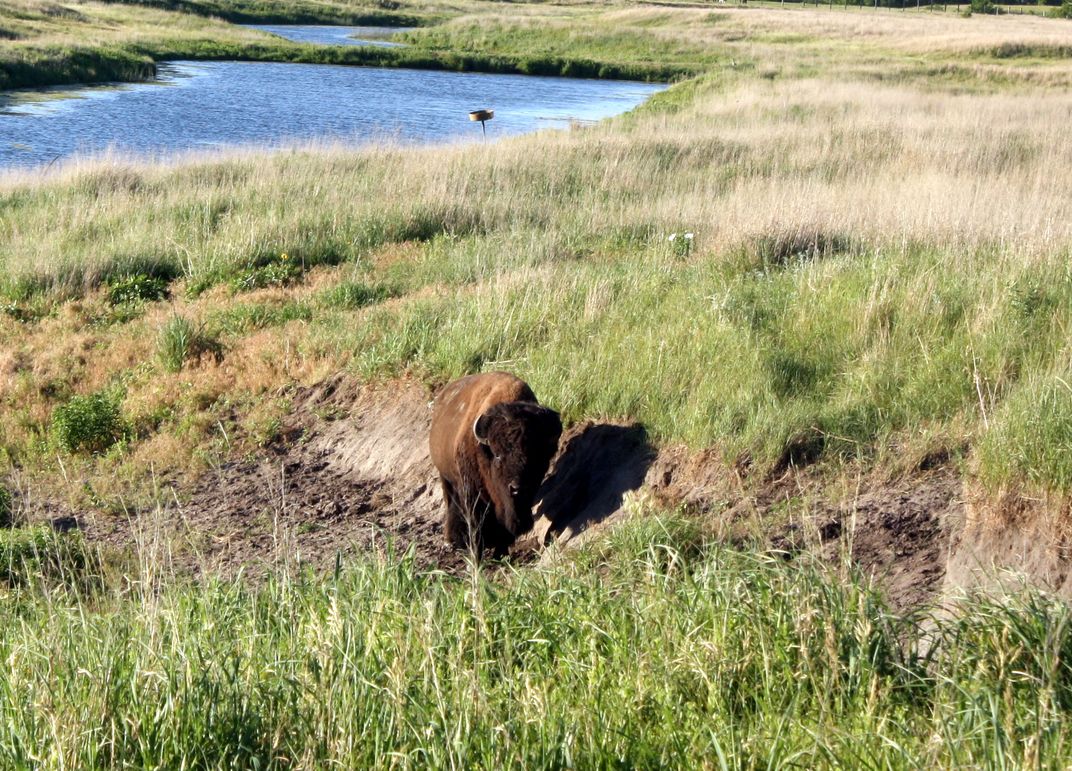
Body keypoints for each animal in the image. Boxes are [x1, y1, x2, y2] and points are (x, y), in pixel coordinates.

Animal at [429, 372, 562, 557]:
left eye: (538, 457)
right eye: (498, 456)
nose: (517, 487)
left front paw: (500, 552)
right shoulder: (472, 493)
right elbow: (475, 522)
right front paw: (476, 555)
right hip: (446, 478)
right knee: (450, 503)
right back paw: (451, 540)